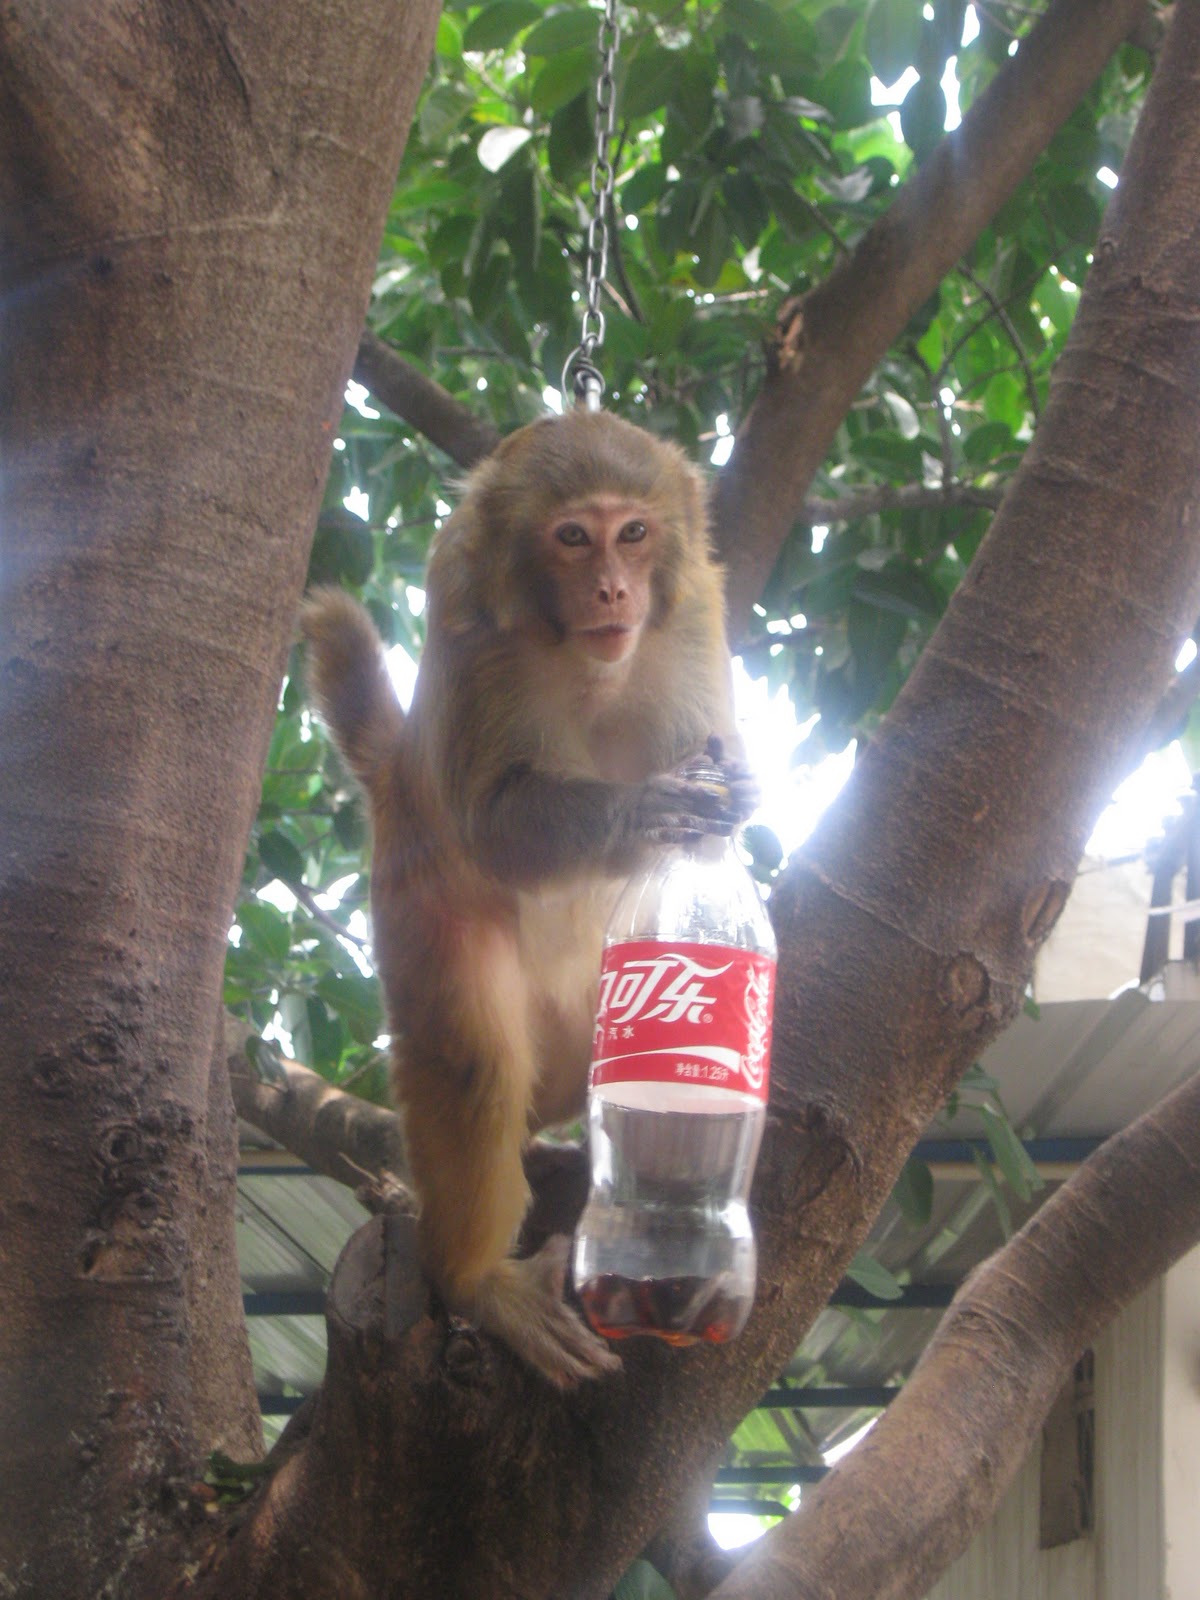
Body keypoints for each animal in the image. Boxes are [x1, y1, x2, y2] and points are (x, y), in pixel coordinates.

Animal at [302, 406, 756, 1387]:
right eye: (573, 537)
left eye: (634, 533)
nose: (615, 591)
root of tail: (393, 783)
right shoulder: (471, 621)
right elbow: (498, 821)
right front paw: (651, 806)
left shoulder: (691, 611)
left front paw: (730, 788)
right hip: (421, 905)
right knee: (477, 1064)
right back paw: (473, 1278)